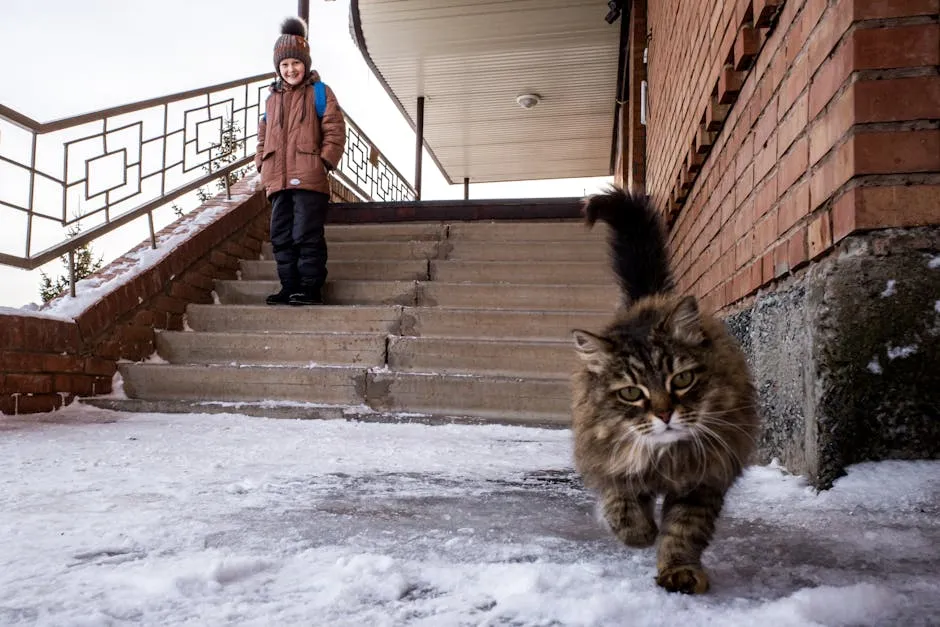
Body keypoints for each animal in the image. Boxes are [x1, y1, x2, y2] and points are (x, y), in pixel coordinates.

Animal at [568, 186, 760, 592]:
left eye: (681, 381)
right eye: (631, 393)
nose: (664, 413)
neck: (664, 457)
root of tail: (649, 299)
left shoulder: (703, 478)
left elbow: (682, 532)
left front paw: (678, 571)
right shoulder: (609, 460)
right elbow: (621, 504)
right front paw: (640, 533)